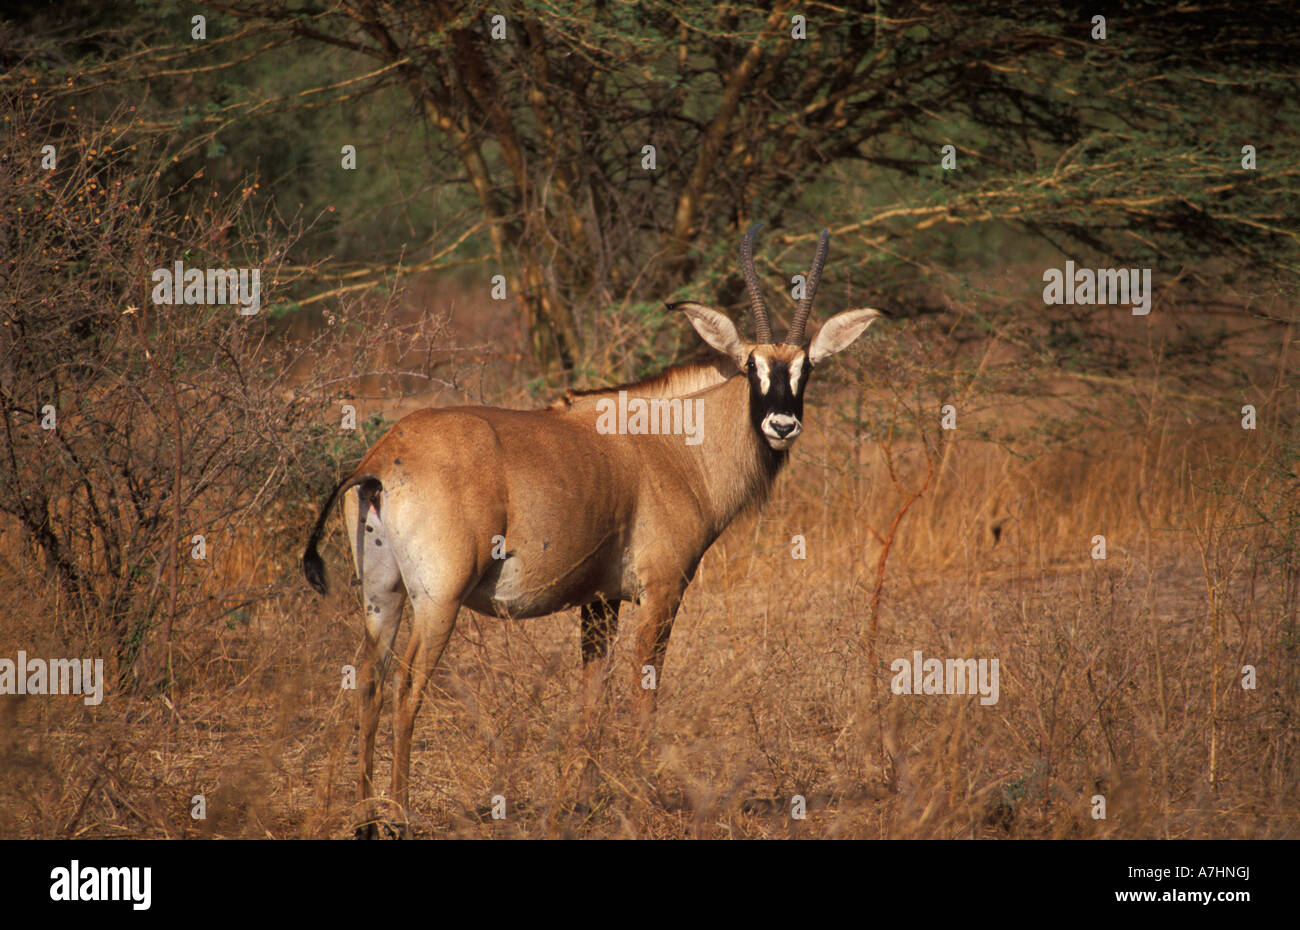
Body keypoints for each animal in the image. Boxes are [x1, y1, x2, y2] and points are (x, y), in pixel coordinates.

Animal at [302, 226, 884, 835]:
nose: (782, 424)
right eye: (752, 367)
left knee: (368, 682)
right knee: (406, 688)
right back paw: (398, 814)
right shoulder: (660, 594)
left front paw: (580, 802)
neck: (672, 445)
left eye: (805, 369)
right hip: (439, 599)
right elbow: (642, 694)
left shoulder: (600, 603)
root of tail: (382, 457)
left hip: (382, 596)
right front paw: (639, 800)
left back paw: (364, 815)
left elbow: (591, 698)